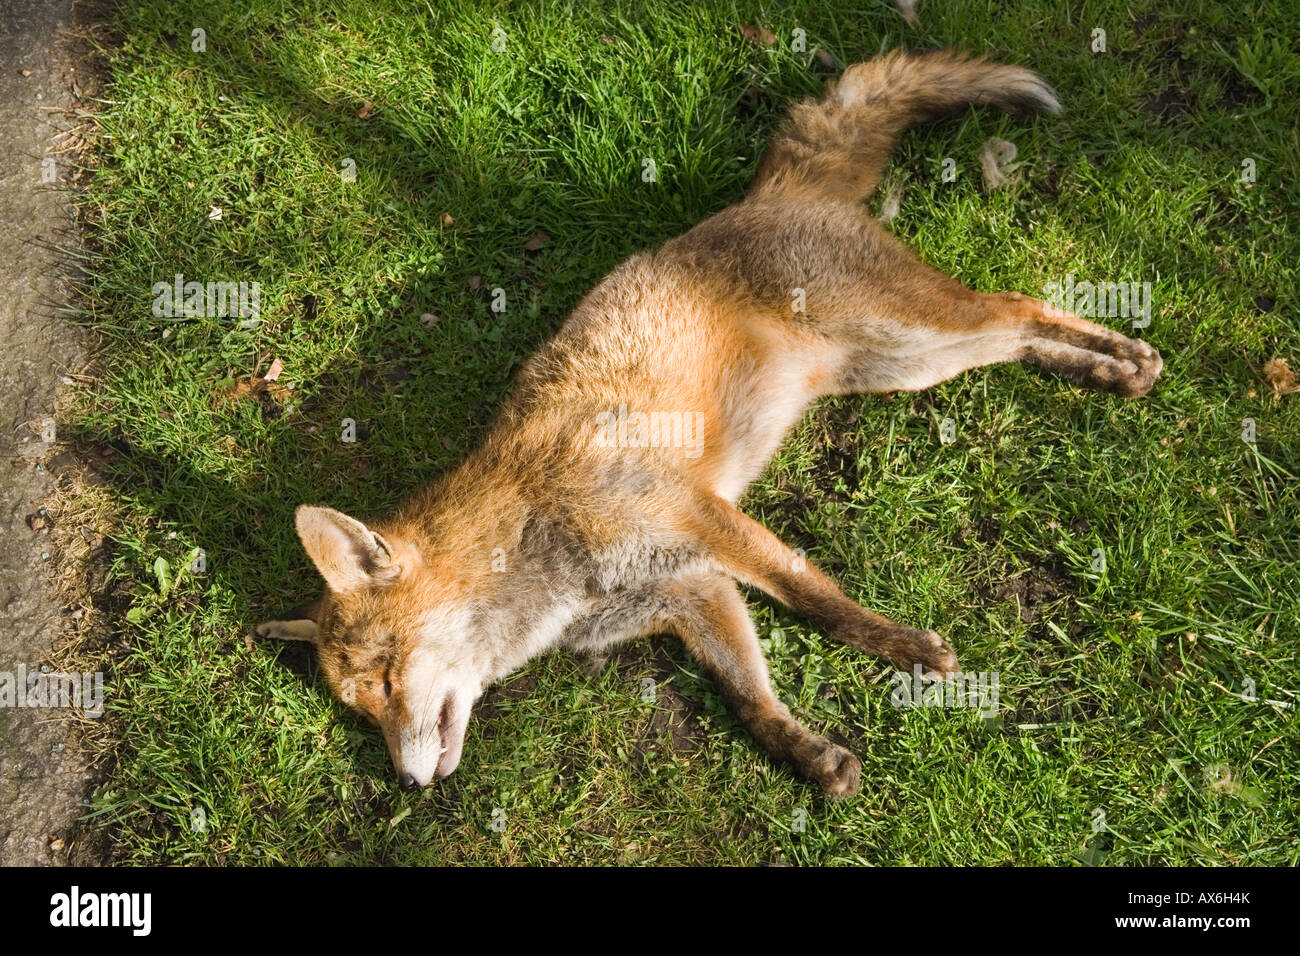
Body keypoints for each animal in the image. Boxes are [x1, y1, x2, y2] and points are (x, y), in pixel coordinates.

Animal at [257, 49, 1162, 796]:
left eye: (382, 681)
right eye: (360, 712)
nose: (408, 785)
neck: (542, 537)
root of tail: (764, 195)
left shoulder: (700, 517)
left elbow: (814, 597)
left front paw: (899, 647)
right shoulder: (690, 588)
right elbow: (745, 692)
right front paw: (806, 755)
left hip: (907, 334)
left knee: (1019, 304)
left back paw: (1124, 356)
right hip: (903, 366)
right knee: (1013, 337)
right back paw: (1102, 369)